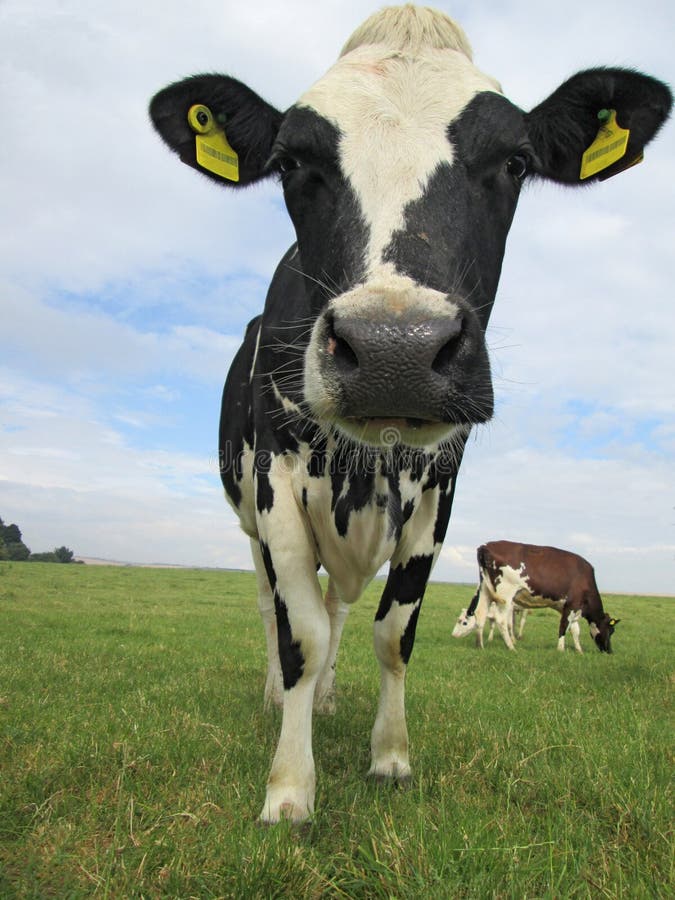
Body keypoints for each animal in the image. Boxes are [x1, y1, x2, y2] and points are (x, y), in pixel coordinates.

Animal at [455, 541, 619, 653]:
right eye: (610, 630)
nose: (609, 651)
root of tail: (486, 546)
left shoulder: (569, 608)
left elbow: (575, 630)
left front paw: (579, 651)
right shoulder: (572, 605)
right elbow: (563, 627)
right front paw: (561, 649)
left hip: (485, 591)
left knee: (480, 615)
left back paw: (480, 646)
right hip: (505, 594)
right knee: (501, 621)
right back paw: (511, 647)